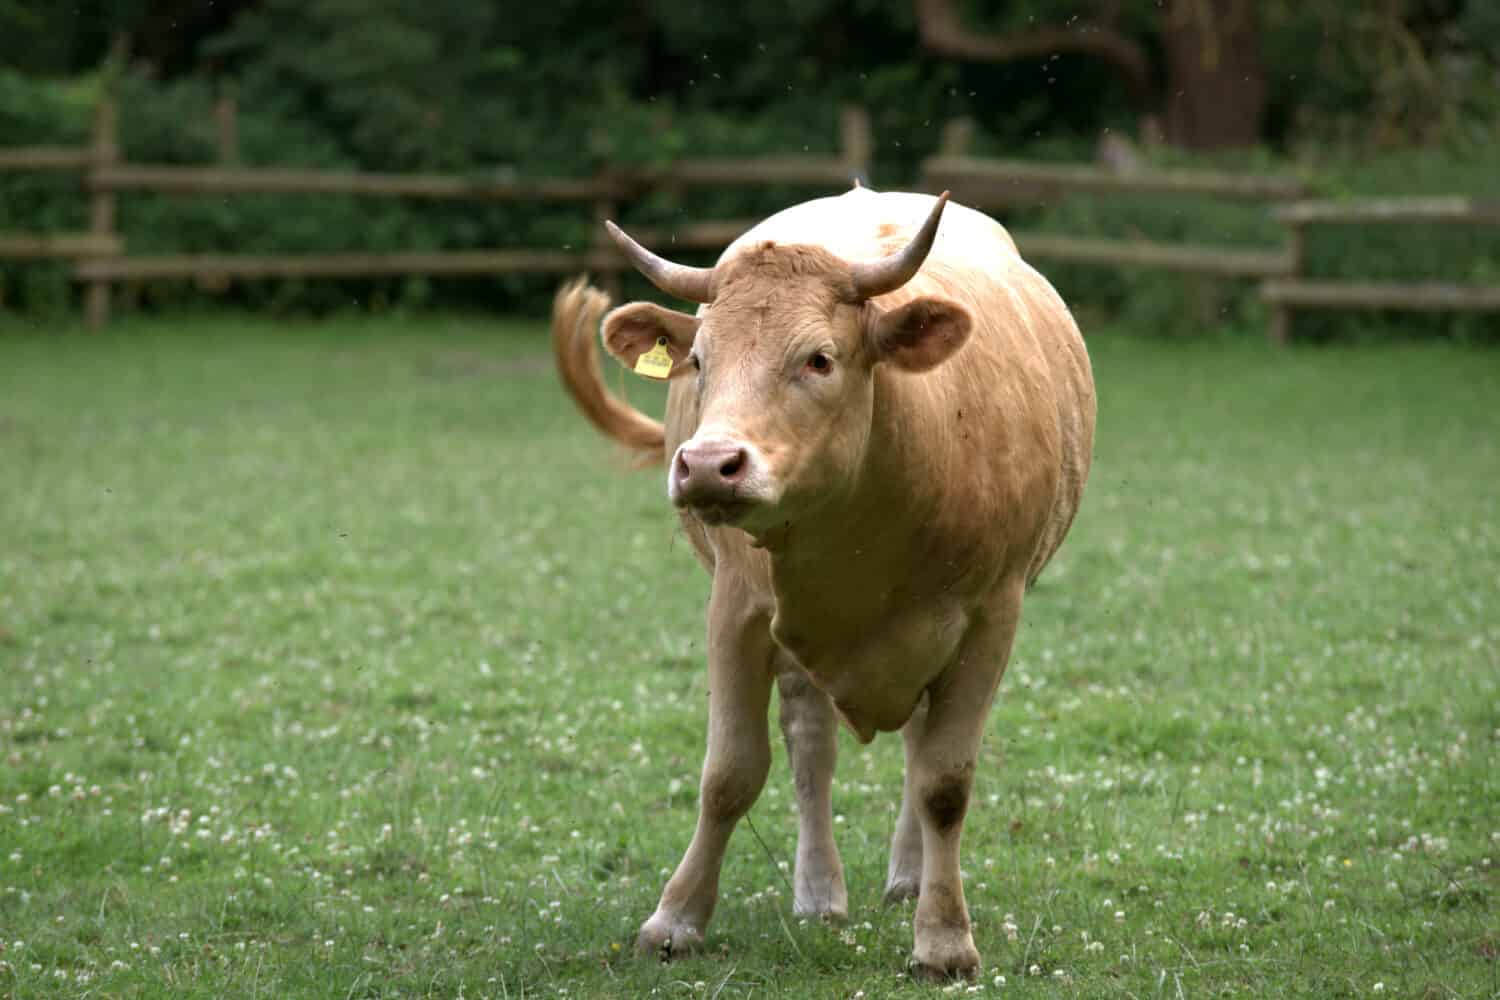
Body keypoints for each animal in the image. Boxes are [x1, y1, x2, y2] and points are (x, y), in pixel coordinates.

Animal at [550, 186, 1095, 979]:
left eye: (819, 358)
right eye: (700, 360)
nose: (708, 465)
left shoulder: (992, 617)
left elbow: (944, 782)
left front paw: (943, 940)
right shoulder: (738, 609)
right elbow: (730, 772)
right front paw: (676, 919)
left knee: (919, 749)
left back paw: (909, 878)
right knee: (811, 746)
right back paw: (819, 891)